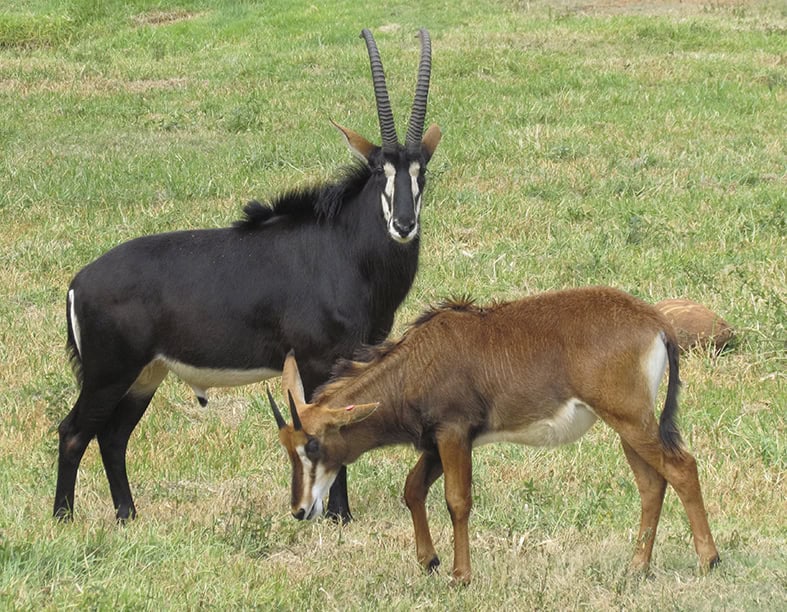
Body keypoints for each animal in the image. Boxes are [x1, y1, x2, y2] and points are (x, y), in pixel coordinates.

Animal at [54, 28, 441, 522]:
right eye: (379, 170)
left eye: (421, 171)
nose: (403, 225)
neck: (344, 247)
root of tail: (77, 284)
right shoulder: (317, 362)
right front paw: (338, 516)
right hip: (109, 374)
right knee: (74, 432)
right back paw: (64, 518)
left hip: (144, 375)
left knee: (113, 436)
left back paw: (127, 516)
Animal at [269, 286, 720, 584]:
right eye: (287, 448)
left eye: (313, 444)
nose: (300, 510)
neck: (417, 362)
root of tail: (656, 323)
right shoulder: (437, 443)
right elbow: (412, 489)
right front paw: (429, 562)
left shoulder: (454, 434)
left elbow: (457, 501)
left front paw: (460, 575)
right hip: (628, 424)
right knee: (651, 484)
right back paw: (637, 567)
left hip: (629, 419)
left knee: (682, 468)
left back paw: (709, 560)